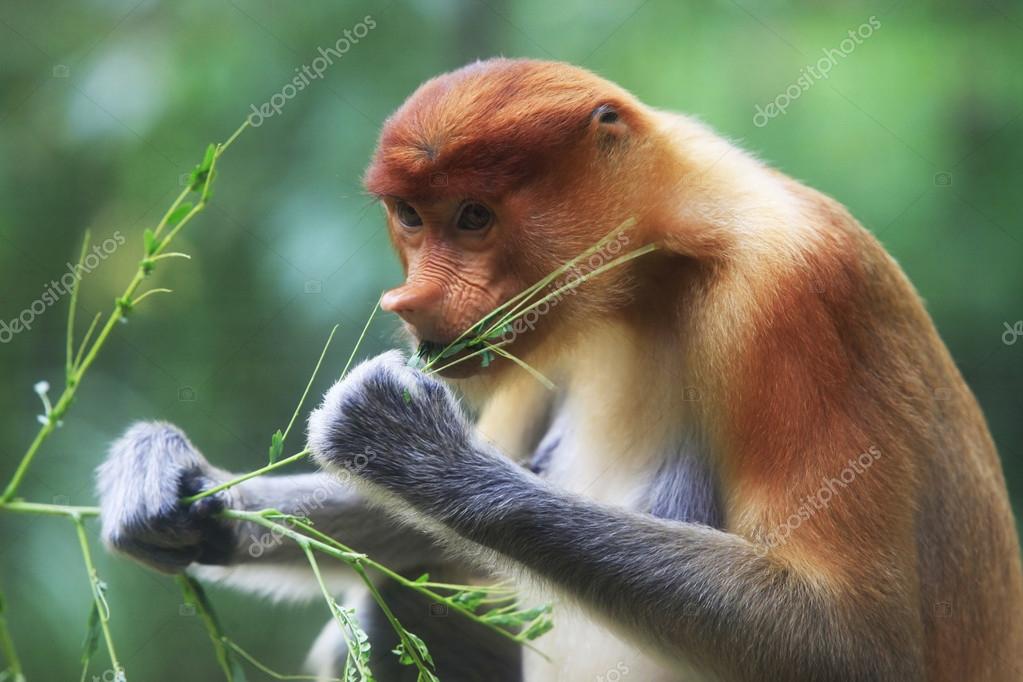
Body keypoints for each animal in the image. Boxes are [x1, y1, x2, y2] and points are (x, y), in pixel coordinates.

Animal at [97, 58, 1023, 681]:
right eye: (411, 216)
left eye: (474, 218)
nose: (410, 300)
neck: (658, 270)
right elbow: (430, 538)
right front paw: (175, 490)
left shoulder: (795, 292)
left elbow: (849, 641)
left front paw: (407, 448)